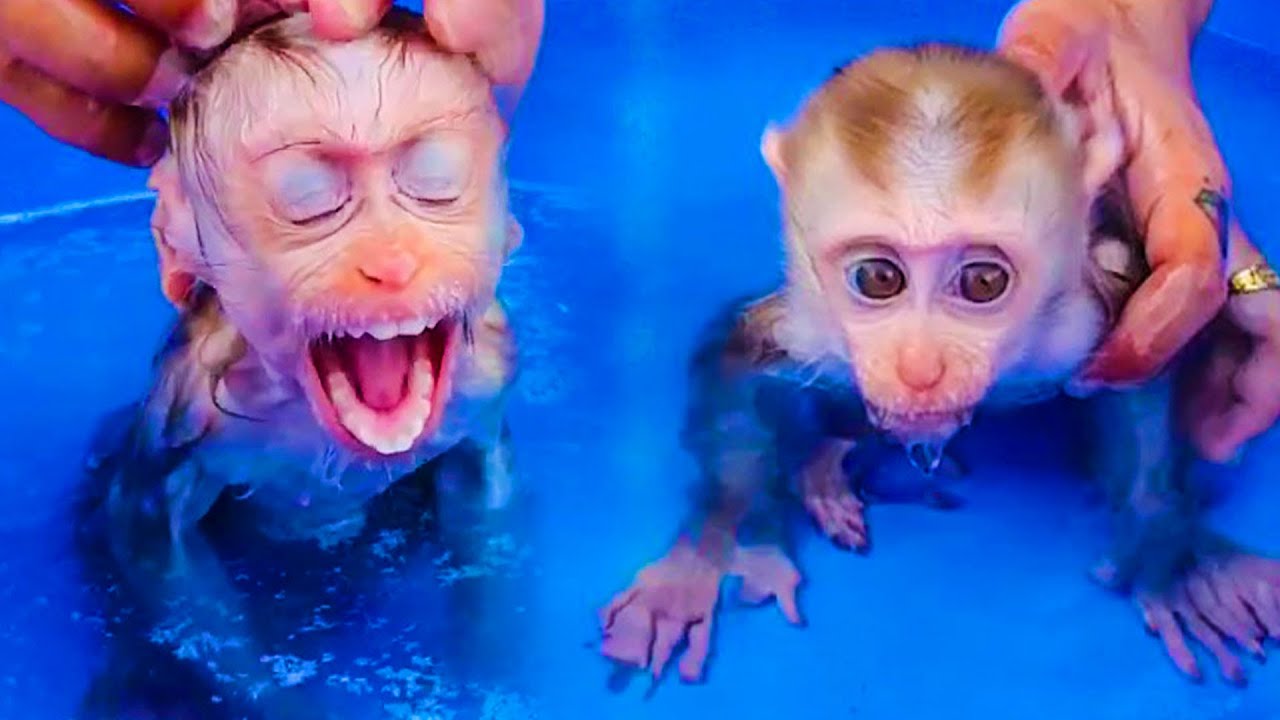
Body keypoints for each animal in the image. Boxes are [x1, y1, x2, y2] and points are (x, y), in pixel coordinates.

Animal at [73, 9, 522, 714]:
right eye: (311, 202)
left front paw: (487, 673)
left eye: (434, 186)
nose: (392, 263)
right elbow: (156, 547)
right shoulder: (188, 403)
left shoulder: (487, 380)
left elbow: (483, 511)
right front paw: (279, 700)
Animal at [598, 43, 1280, 687]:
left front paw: (1169, 553)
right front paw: (712, 552)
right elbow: (735, 366)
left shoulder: (1091, 314)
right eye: (878, 278)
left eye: (982, 281)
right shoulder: (809, 329)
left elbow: (1140, 383)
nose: (919, 369)